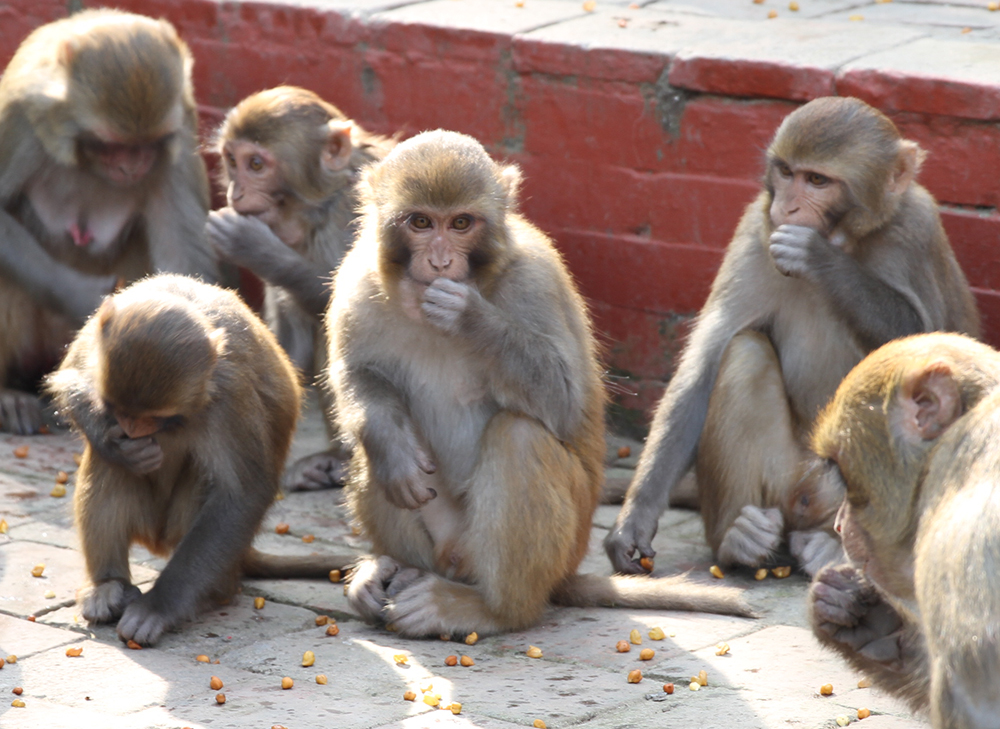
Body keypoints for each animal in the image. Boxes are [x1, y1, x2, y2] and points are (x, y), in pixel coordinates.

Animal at [0, 9, 216, 436]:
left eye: (148, 144)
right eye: (113, 144)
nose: (133, 166)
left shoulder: (180, 126)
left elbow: (183, 252)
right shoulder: (16, 121)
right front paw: (79, 295)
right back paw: (7, 395)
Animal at [45, 275, 352, 645]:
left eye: (157, 418)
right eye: (114, 408)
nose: (130, 431)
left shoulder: (230, 394)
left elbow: (242, 493)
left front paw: (158, 607)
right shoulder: (93, 336)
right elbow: (66, 381)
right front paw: (118, 445)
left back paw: (209, 594)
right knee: (107, 465)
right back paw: (108, 585)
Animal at [326, 130, 752, 638]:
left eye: (461, 223)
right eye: (421, 222)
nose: (440, 260)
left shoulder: (535, 280)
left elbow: (565, 401)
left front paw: (470, 316)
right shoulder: (357, 281)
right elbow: (357, 372)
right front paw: (393, 451)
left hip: (559, 548)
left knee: (519, 437)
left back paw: (488, 610)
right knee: (370, 450)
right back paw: (397, 567)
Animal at [605, 96, 980, 578]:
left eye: (817, 180)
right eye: (786, 172)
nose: (787, 208)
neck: (848, 239)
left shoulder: (916, 230)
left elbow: (933, 353)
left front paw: (818, 260)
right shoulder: (755, 229)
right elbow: (704, 367)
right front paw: (634, 519)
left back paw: (834, 553)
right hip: (783, 482)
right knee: (744, 352)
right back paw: (739, 542)